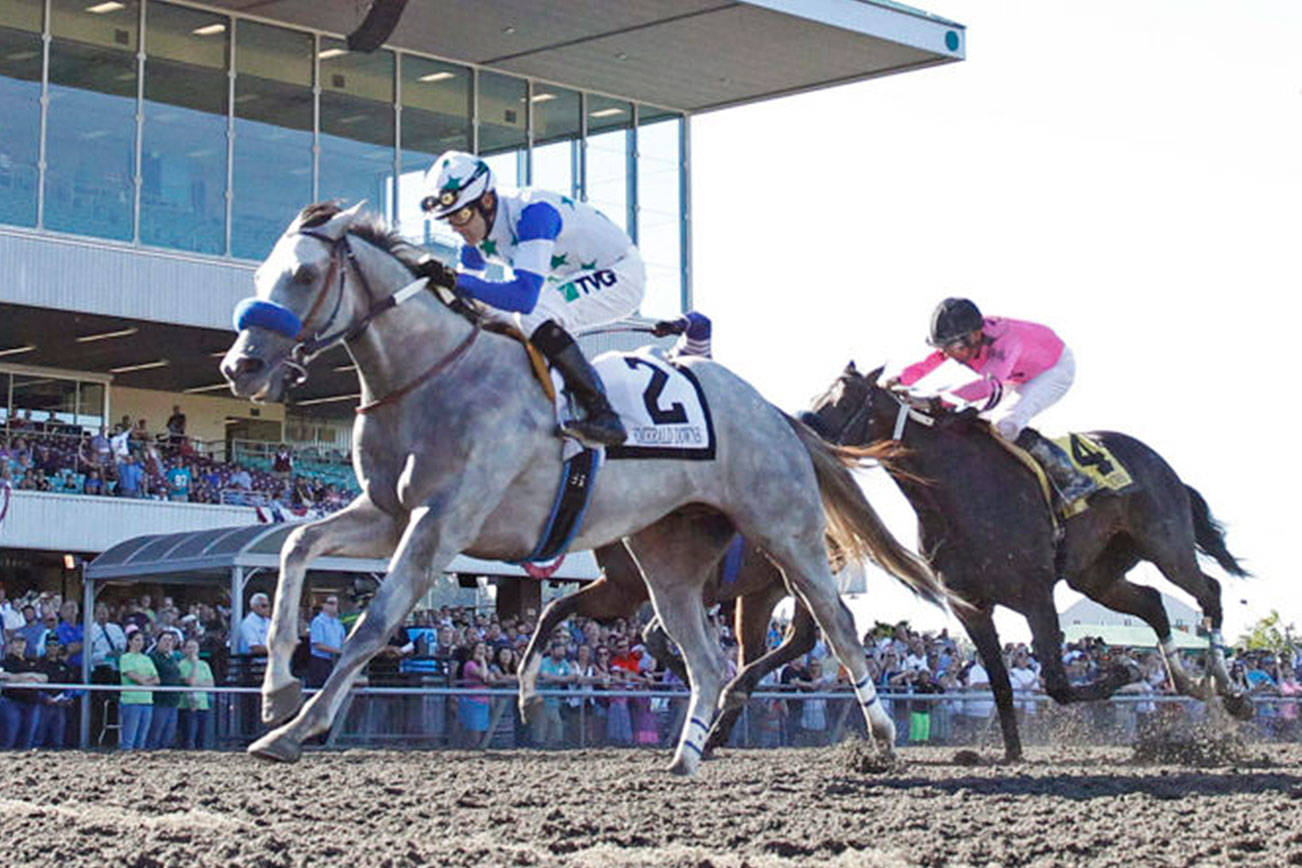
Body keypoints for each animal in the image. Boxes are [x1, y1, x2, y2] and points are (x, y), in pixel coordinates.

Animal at [218, 202, 947, 774]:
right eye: (257, 275)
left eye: (304, 274)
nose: (240, 367)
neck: (431, 377)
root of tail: (772, 411)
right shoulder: (387, 513)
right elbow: (297, 548)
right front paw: (278, 691)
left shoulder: (440, 523)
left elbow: (373, 622)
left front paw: (295, 729)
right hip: (666, 556)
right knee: (707, 659)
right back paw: (686, 754)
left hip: (783, 533)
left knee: (837, 624)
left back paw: (881, 738)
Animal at [777, 361, 1251, 760]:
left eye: (842, 402)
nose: (798, 428)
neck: (958, 490)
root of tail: (1164, 467)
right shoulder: (970, 607)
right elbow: (1002, 684)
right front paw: (1012, 753)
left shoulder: (1035, 594)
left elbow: (1056, 683)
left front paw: (1122, 670)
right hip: (1095, 574)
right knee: (1153, 602)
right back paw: (1191, 683)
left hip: (1166, 547)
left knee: (1209, 592)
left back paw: (1230, 692)